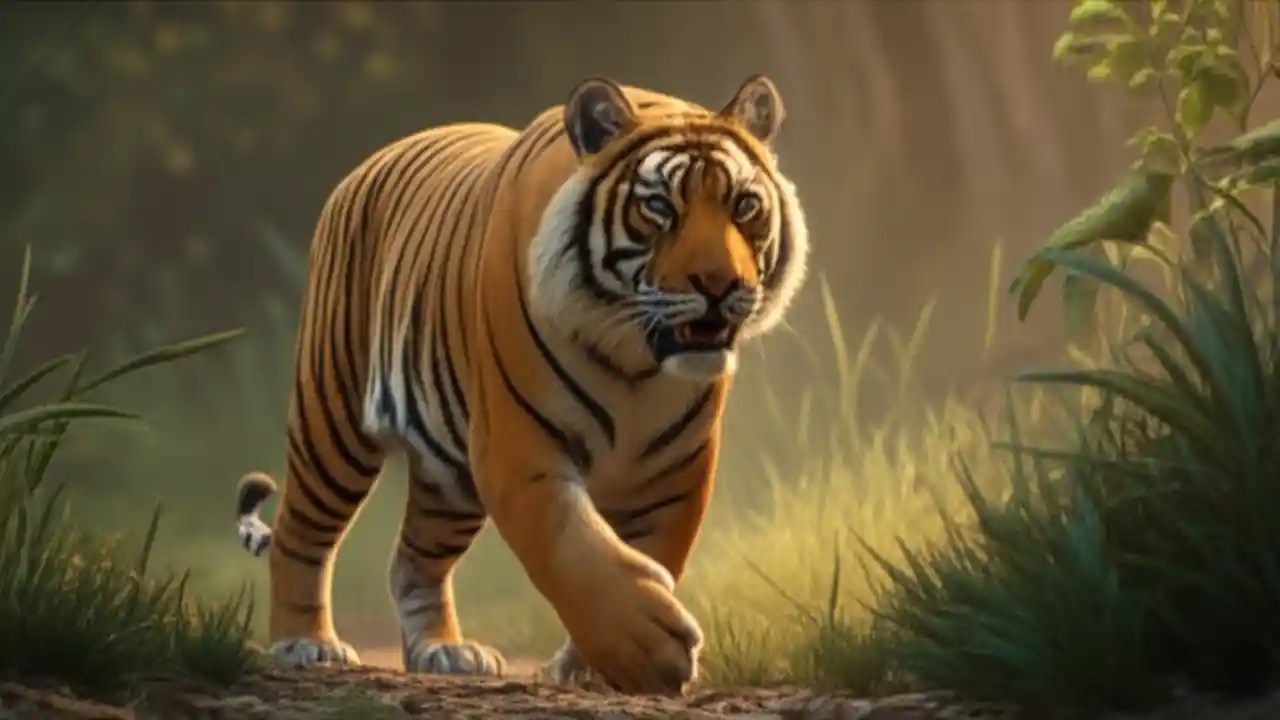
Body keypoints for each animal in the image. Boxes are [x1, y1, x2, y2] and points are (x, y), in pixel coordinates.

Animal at [233, 74, 810, 695]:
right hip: (334, 421)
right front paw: (646, 649)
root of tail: (365, 165)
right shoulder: (520, 451)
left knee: (413, 558)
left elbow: (648, 553)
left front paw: (591, 667)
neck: (634, 361)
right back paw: (305, 643)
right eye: (658, 207)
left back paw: (444, 651)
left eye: (744, 206)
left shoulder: (674, 472)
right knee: (300, 533)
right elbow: (574, 551)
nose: (719, 285)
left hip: (451, 478)